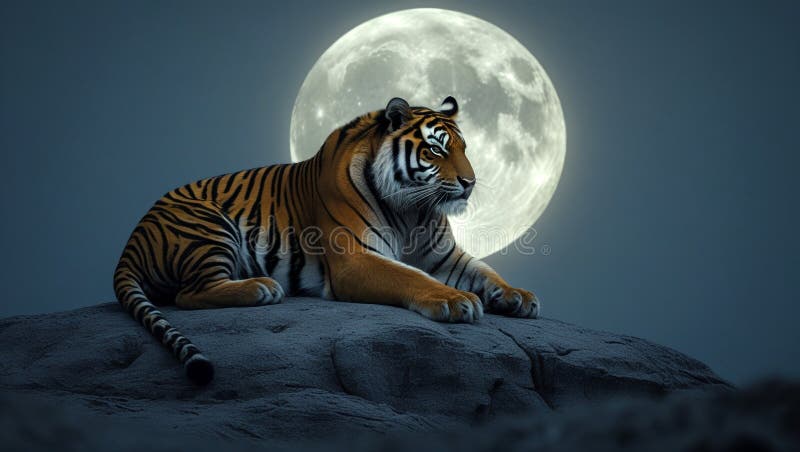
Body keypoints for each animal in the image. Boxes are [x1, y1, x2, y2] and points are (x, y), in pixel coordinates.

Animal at [114, 96, 540, 385]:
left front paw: (517, 296)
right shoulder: (356, 259)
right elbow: (410, 277)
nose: (470, 183)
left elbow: (485, 271)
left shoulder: (445, 256)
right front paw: (454, 301)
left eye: (465, 148)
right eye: (435, 149)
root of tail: (130, 241)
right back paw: (260, 288)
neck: (412, 210)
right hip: (207, 224)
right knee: (188, 295)